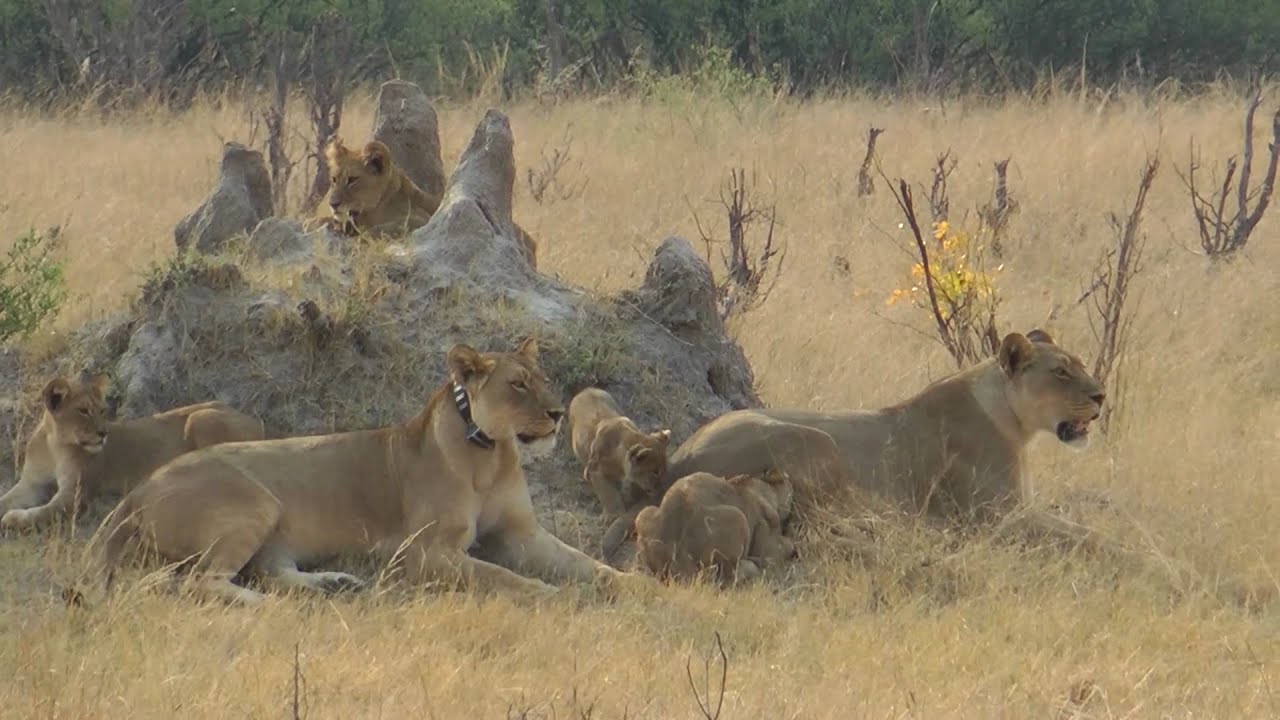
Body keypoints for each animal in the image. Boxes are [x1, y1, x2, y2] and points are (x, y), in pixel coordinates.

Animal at [0, 374, 264, 533]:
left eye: (102, 410)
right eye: (83, 410)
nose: (103, 433)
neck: (53, 443)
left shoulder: (75, 494)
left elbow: (43, 512)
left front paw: (13, 518)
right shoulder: (31, 484)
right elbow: (7, 498)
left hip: (201, 416)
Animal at [98, 338, 645, 604]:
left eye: (543, 379)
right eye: (517, 385)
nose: (557, 413)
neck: (491, 454)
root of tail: (140, 488)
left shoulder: (522, 533)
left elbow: (584, 562)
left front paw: (634, 584)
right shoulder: (422, 553)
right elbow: (498, 575)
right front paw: (550, 594)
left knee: (271, 572)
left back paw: (334, 585)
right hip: (255, 503)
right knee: (201, 582)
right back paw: (272, 607)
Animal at [568, 388, 671, 517]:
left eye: (664, 470)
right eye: (655, 472)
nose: (661, 489)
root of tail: (586, 389)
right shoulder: (593, 469)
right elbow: (608, 494)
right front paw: (614, 515)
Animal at [604, 330, 1110, 555]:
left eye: (1081, 364)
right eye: (1061, 372)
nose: (1102, 396)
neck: (1015, 422)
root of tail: (678, 461)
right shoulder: (994, 518)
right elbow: (1088, 536)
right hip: (816, 439)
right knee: (814, 522)